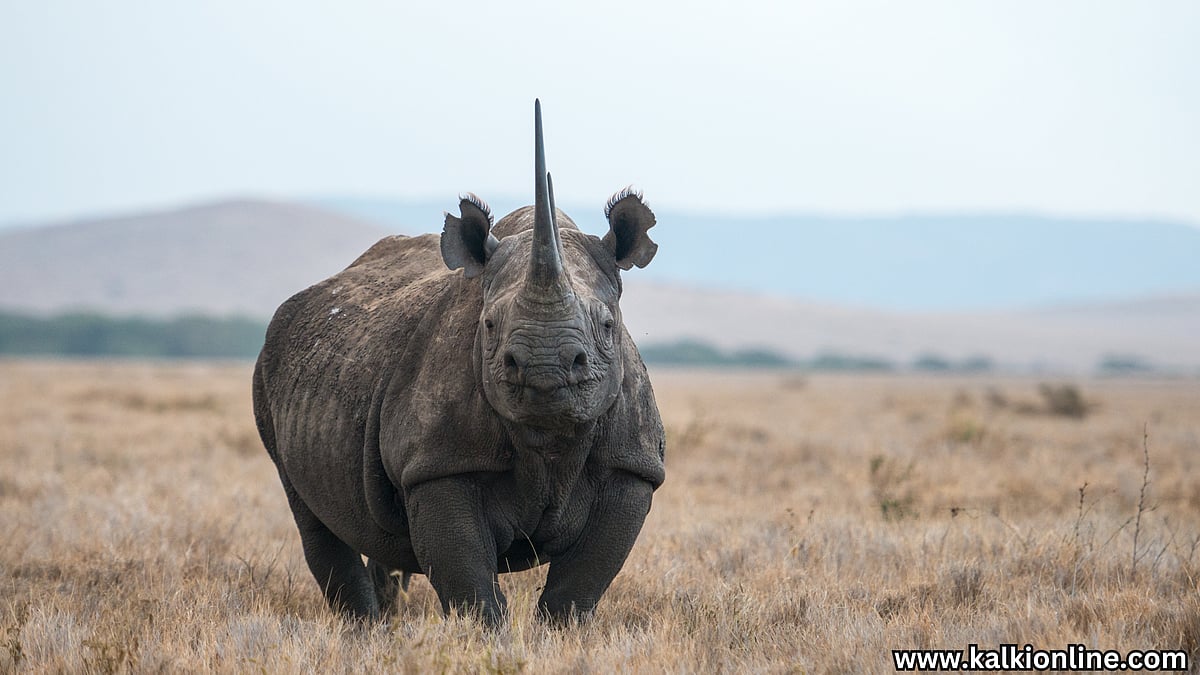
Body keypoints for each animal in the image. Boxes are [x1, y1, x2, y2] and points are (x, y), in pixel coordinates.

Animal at [252, 100, 664, 625]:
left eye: (608, 326)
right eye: (487, 325)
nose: (543, 369)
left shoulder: (631, 464)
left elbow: (577, 589)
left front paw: (559, 636)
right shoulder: (439, 463)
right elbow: (470, 585)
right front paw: (485, 637)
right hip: (267, 373)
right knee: (312, 517)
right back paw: (365, 630)